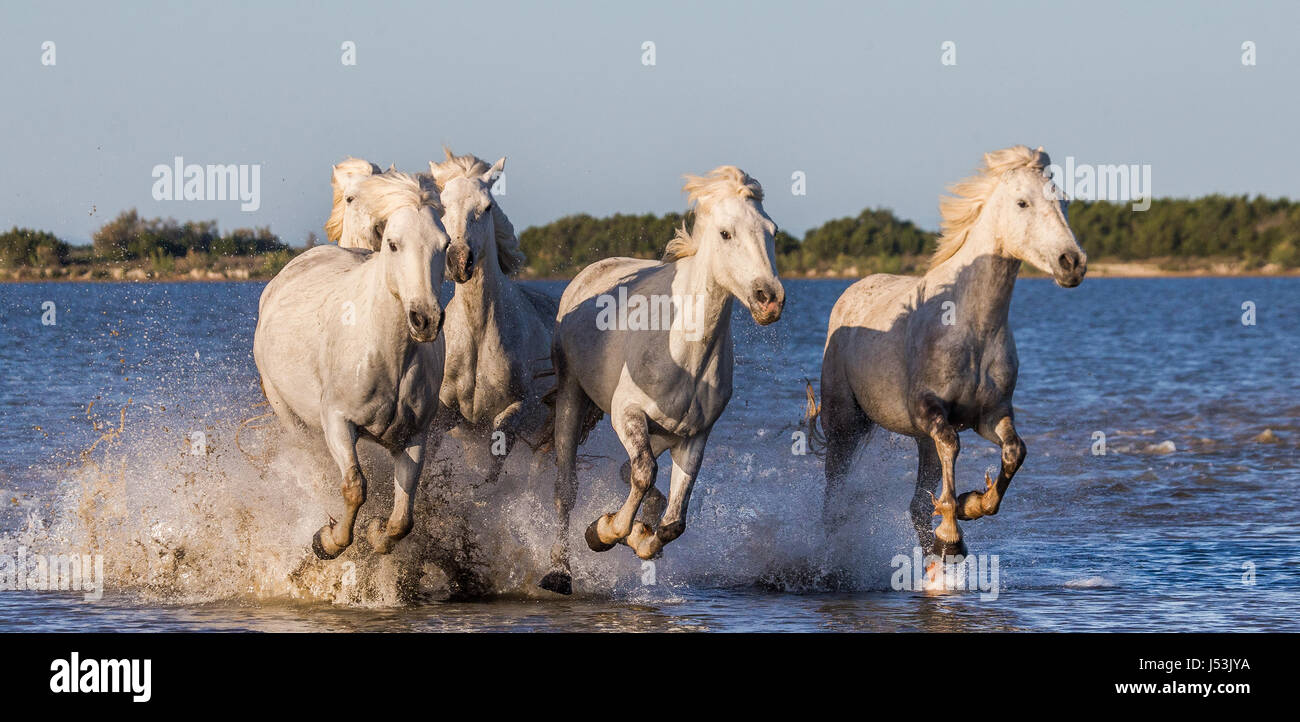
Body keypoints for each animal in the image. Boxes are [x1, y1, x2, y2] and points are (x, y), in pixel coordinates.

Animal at [254, 170, 450, 559]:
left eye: (445, 244)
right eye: (393, 244)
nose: (425, 320)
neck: (387, 355)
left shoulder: (413, 436)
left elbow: (404, 516)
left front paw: (375, 533)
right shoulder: (337, 421)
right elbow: (355, 486)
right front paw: (326, 541)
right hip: (288, 414)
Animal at [424, 148, 558, 485]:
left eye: (486, 207)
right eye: (443, 206)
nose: (459, 261)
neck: (477, 332)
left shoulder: (518, 407)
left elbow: (494, 465)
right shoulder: (448, 414)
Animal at [539, 166, 785, 595]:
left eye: (772, 231)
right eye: (726, 233)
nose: (769, 299)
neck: (683, 348)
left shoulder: (695, 435)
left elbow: (674, 521)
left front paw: (639, 537)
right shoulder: (627, 413)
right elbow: (644, 473)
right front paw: (603, 532)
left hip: (662, 432)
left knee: (631, 474)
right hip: (571, 394)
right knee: (566, 489)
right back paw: (559, 573)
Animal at [811, 145, 1086, 577]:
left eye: (1065, 202)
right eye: (1022, 202)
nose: (1072, 263)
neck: (971, 327)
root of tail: (850, 291)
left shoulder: (991, 414)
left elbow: (1015, 451)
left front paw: (970, 506)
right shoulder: (930, 411)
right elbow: (952, 444)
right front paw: (952, 535)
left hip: (914, 438)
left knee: (914, 503)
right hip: (845, 426)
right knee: (833, 501)